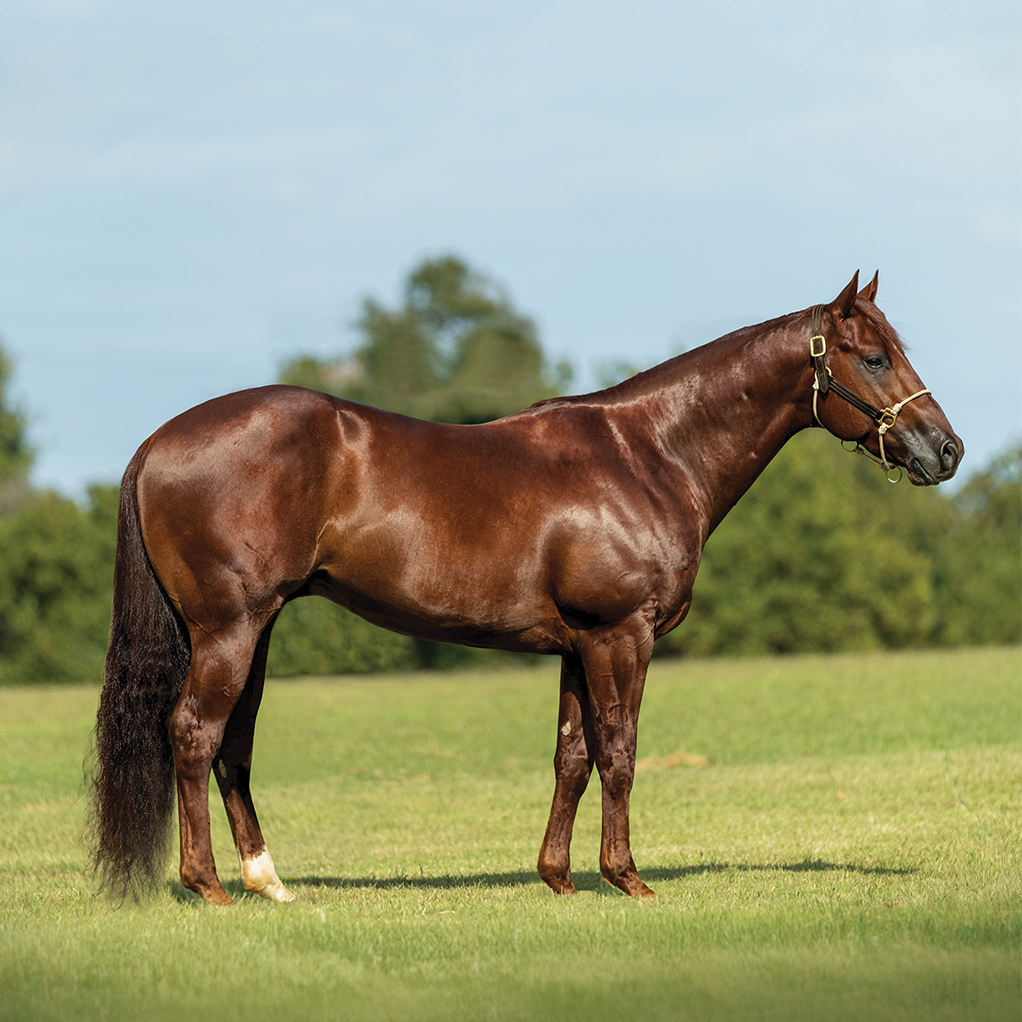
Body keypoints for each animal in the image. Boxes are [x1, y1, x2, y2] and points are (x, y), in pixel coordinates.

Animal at [90, 272, 962, 905]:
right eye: (872, 356)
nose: (946, 449)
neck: (647, 454)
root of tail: (157, 442)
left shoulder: (578, 644)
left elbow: (572, 757)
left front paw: (559, 878)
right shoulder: (620, 634)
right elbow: (620, 753)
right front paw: (628, 879)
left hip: (253, 629)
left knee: (232, 744)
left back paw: (269, 882)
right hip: (230, 629)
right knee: (194, 734)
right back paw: (207, 886)